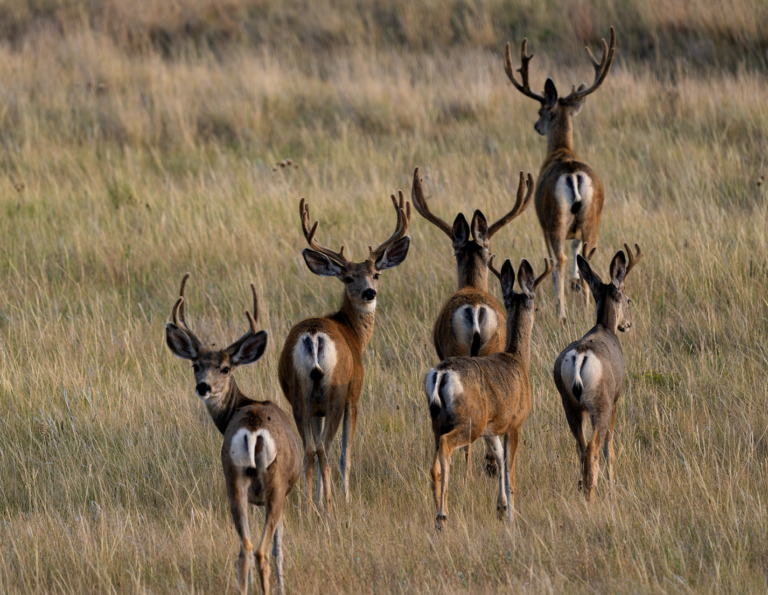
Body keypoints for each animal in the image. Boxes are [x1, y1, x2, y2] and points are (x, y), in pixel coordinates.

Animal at [165, 273, 301, 595]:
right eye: (195, 365)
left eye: (225, 368)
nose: (203, 386)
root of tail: (252, 431)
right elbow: (280, 548)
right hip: (275, 482)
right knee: (261, 550)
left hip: (232, 476)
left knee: (244, 549)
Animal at [278, 192, 411, 513]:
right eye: (348, 278)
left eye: (376, 274)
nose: (369, 293)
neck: (353, 334)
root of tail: (314, 336)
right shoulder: (354, 396)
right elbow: (345, 454)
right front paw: (345, 497)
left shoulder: (316, 409)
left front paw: (315, 498)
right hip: (336, 392)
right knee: (325, 447)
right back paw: (328, 505)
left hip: (300, 393)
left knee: (309, 448)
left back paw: (308, 505)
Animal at [425, 256, 553, 529]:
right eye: (535, 305)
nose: (538, 312)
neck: (518, 360)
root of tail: (441, 374)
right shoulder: (514, 423)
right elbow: (510, 472)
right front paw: (512, 516)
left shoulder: (492, 428)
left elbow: (499, 460)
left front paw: (501, 508)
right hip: (470, 420)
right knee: (447, 447)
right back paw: (442, 515)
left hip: (438, 421)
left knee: (434, 464)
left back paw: (437, 516)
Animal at [504, 27, 616, 323]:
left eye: (541, 110)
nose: (536, 125)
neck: (562, 151)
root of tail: (573, 174)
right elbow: (577, 251)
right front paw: (577, 285)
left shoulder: (542, 222)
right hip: (592, 217)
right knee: (586, 254)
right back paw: (588, 306)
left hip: (555, 218)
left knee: (559, 261)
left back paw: (561, 312)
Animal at [553, 242, 643, 501]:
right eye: (628, 300)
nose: (627, 324)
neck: (604, 327)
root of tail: (580, 355)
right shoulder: (615, 400)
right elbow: (609, 448)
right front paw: (612, 487)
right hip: (600, 403)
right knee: (593, 448)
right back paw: (591, 496)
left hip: (569, 404)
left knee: (581, 447)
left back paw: (583, 488)